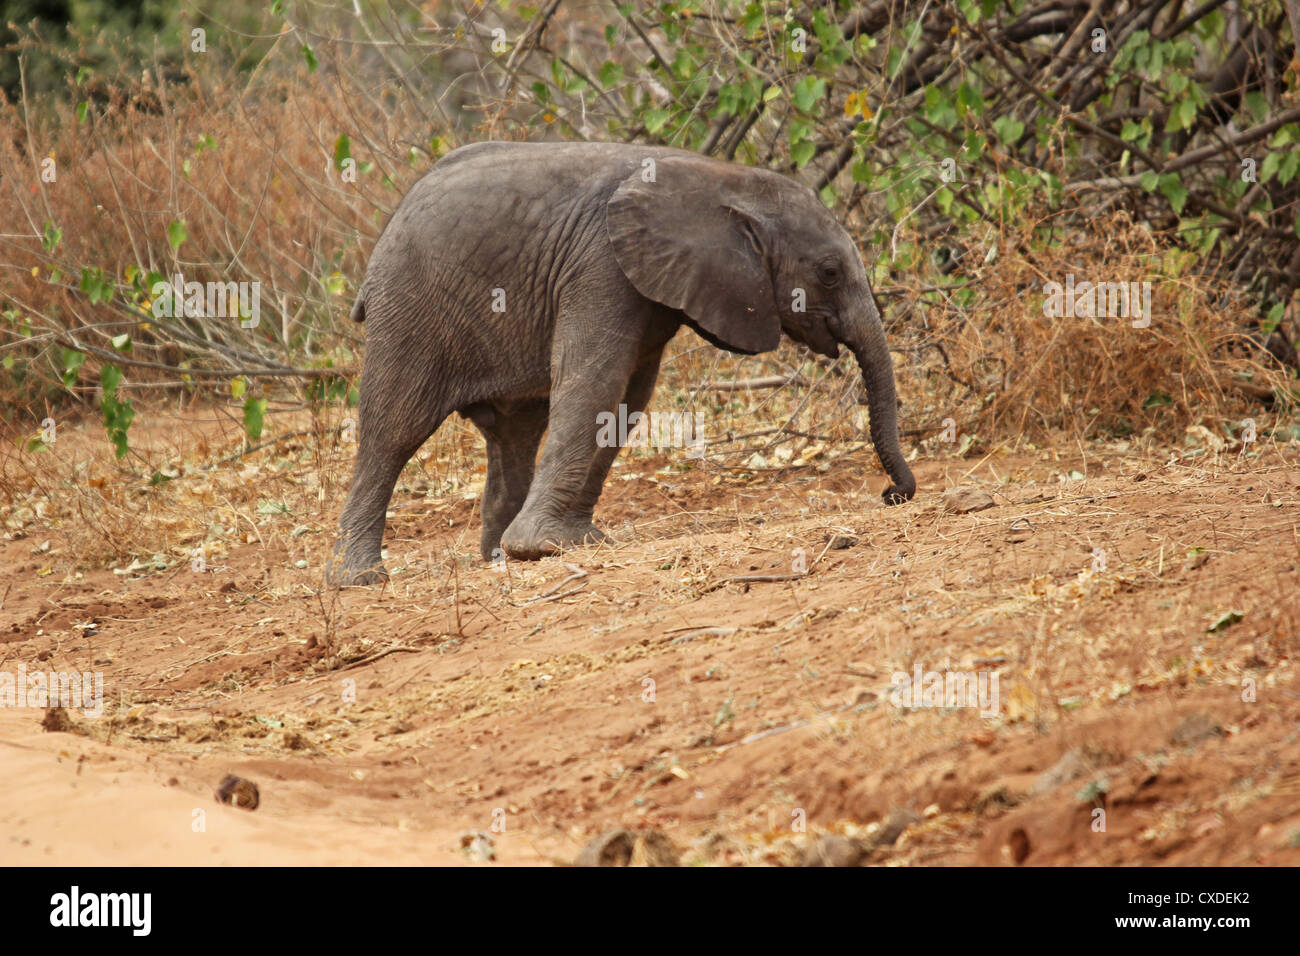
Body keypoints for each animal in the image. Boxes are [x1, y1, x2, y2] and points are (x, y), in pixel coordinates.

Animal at [328, 140, 915, 586]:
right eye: (829, 273)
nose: (890, 495)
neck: (721, 182)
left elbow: (630, 396)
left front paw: (573, 540)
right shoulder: (601, 265)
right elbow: (595, 380)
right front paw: (542, 547)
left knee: (515, 434)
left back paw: (495, 557)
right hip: (410, 307)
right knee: (395, 427)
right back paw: (359, 579)